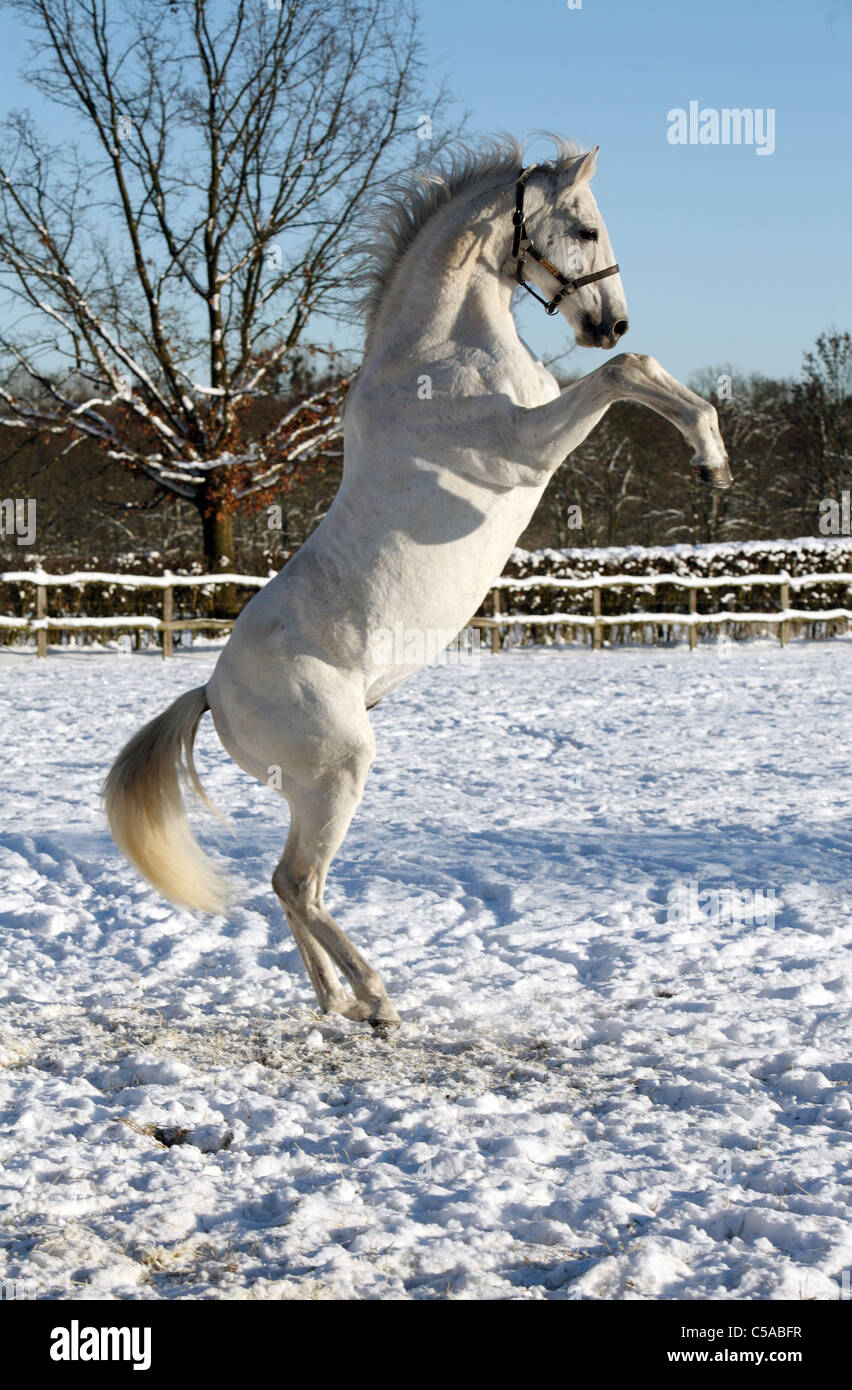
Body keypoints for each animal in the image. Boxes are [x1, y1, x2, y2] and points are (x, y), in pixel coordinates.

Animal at [103, 137, 731, 1034]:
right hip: (339, 771)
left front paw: (710, 458)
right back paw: (375, 998)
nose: (608, 319)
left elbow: (628, 373)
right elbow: (625, 374)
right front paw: (711, 456)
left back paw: (337, 1000)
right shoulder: (527, 447)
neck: (439, 356)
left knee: (288, 884)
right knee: (299, 883)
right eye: (583, 226)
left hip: (309, 788)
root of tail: (210, 694)